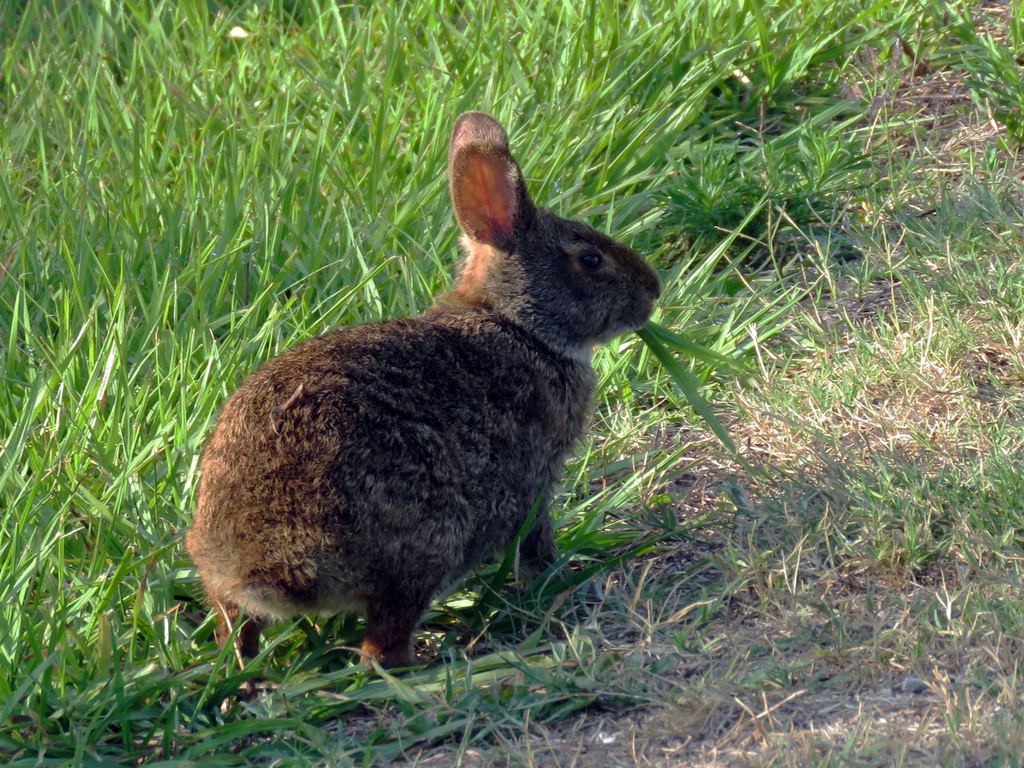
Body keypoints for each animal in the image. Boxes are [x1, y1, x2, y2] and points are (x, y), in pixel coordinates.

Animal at [185, 111, 661, 669]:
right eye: (589, 259)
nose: (653, 291)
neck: (516, 323)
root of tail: (269, 569)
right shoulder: (535, 477)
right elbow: (534, 540)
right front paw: (558, 581)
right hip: (427, 541)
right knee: (383, 643)